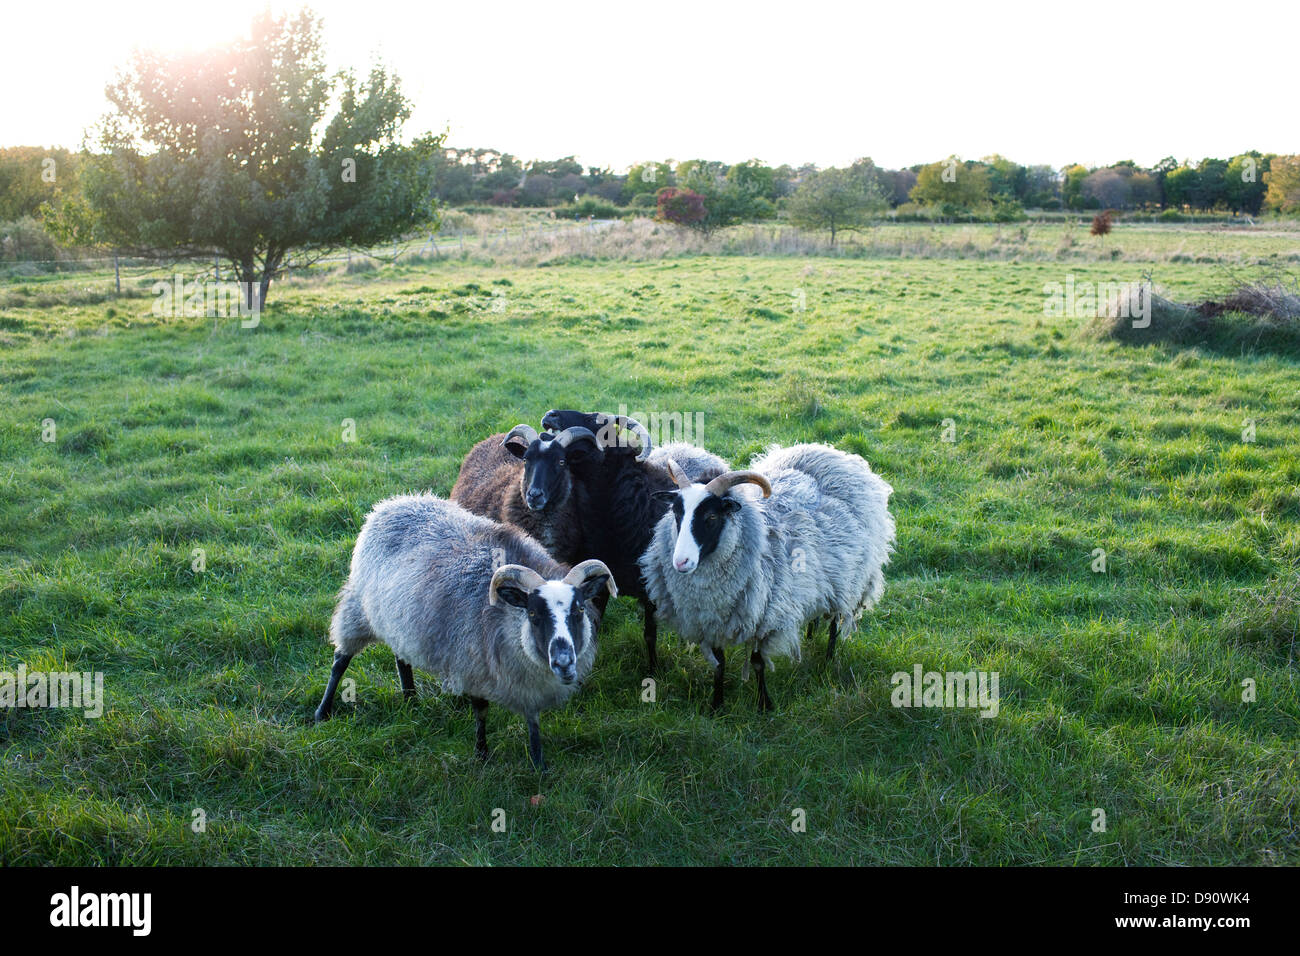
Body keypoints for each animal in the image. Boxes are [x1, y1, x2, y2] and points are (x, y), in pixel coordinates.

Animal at [314, 492, 615, 770]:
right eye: (533, 614)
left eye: (579, 609)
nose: (564, 662)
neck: (508, 620)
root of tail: (394, 502)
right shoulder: (473, 663)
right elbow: (481, 712)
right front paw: (481, 755)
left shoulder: (528, 681)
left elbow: (533, 720)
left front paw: (538, 764)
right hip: (358, 608)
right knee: (340, 660)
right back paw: (322, 711)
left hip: (396, 617)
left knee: (401, 657)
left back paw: (410, 699)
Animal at [539, 409, 729, 672]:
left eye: (596, 421)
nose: (550, 414)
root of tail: (693, 449)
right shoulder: (599, 578)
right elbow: (595, 625)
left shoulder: (650, 589)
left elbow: (650, 634)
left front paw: (654, 670)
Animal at [638, 443, 894, 711]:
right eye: (676, 513)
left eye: (711, 517)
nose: (681, 562)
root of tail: (828, 451)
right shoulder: (713, 619)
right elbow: (719, 663)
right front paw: (717, 704)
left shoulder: (766, 616)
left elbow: (758, 662)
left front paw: (764, 704)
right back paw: (810, 634)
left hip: (848, 580)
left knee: (835, 620)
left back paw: (828, 659)